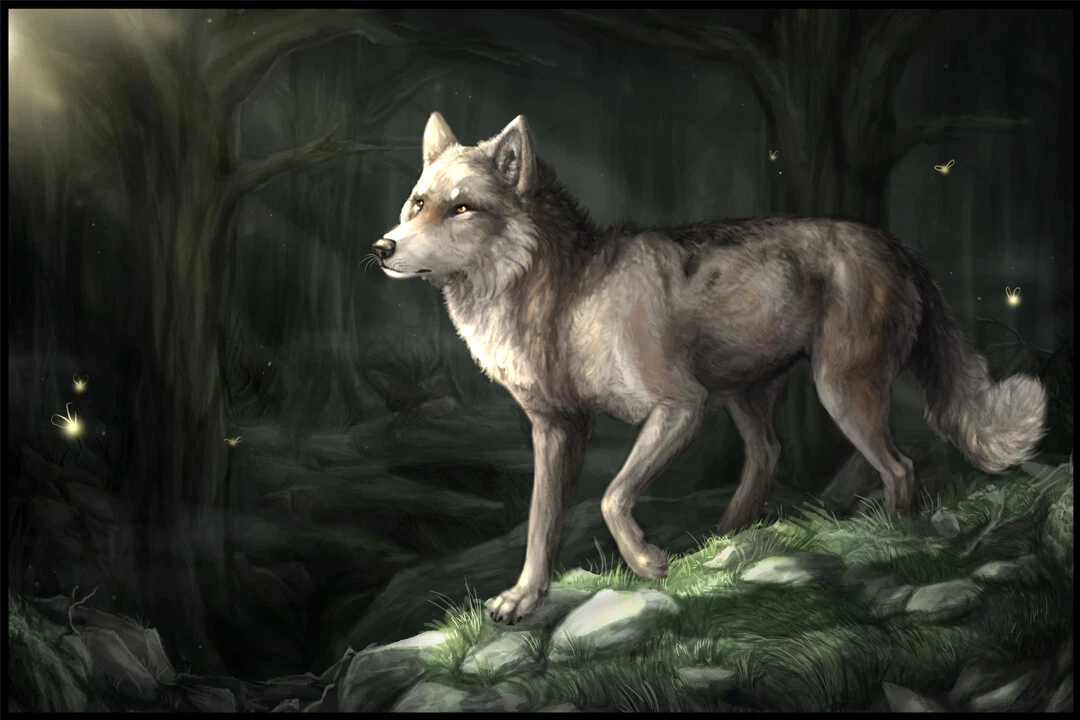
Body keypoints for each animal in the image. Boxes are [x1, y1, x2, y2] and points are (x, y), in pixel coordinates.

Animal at [372, 112, 1048, 625]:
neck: (566, 302)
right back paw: (721, 542)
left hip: (839, 394)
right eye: (417, 203)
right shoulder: (556, 429)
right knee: (769, 455)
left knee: (901, 467)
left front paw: (647, 563)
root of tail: (897, 246)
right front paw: (524, 599)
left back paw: (894, 542)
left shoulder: (679, 408)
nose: (381, 247)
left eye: (461, 208)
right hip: (750, 398)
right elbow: (542, 523)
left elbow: (612, 497)